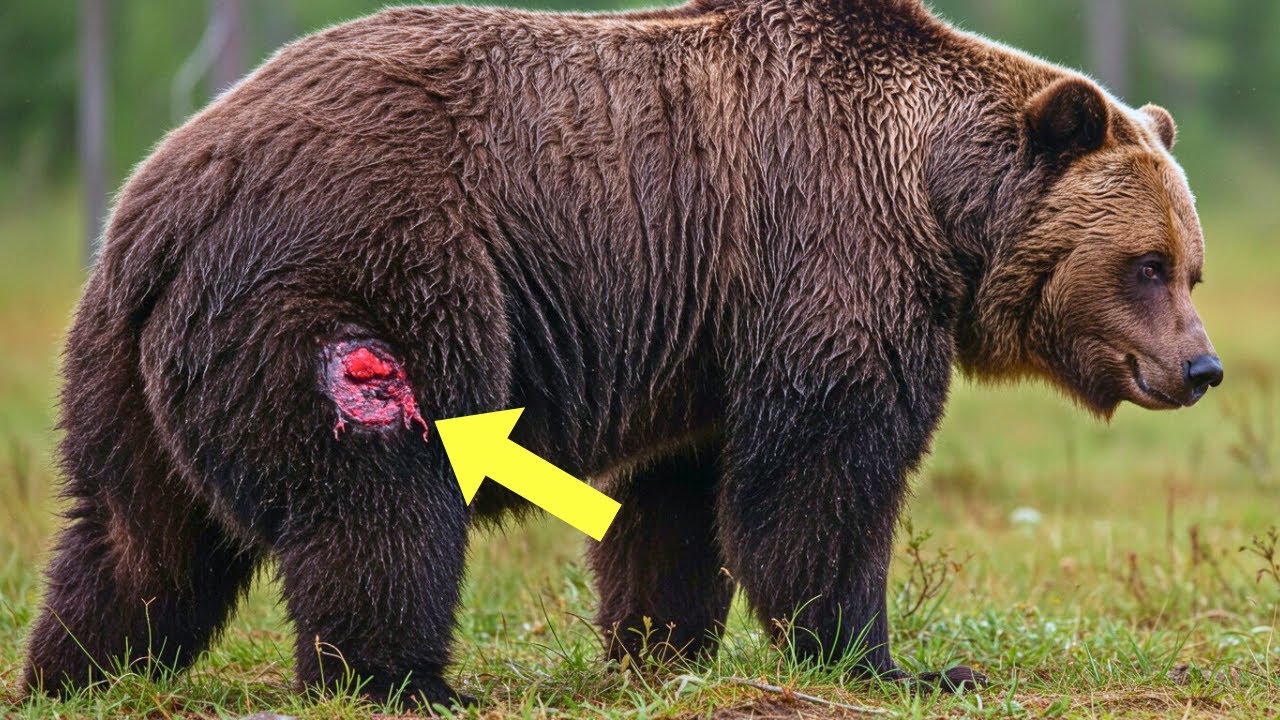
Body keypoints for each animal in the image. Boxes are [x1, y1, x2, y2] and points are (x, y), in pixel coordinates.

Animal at [25, 0, 1221, 709]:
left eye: (1190, 266)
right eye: (1145, 264)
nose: (1200, 370)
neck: (933, 206)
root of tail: (169, 199)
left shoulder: (706, 330)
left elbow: (678, 502)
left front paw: (660, 646)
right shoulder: (826, 256)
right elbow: (825, 477)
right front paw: (902, 660)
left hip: (130, 359)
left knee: (134, 537)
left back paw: (80, 671)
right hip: (359, 289)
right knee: (378, 501)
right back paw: (407, 682)